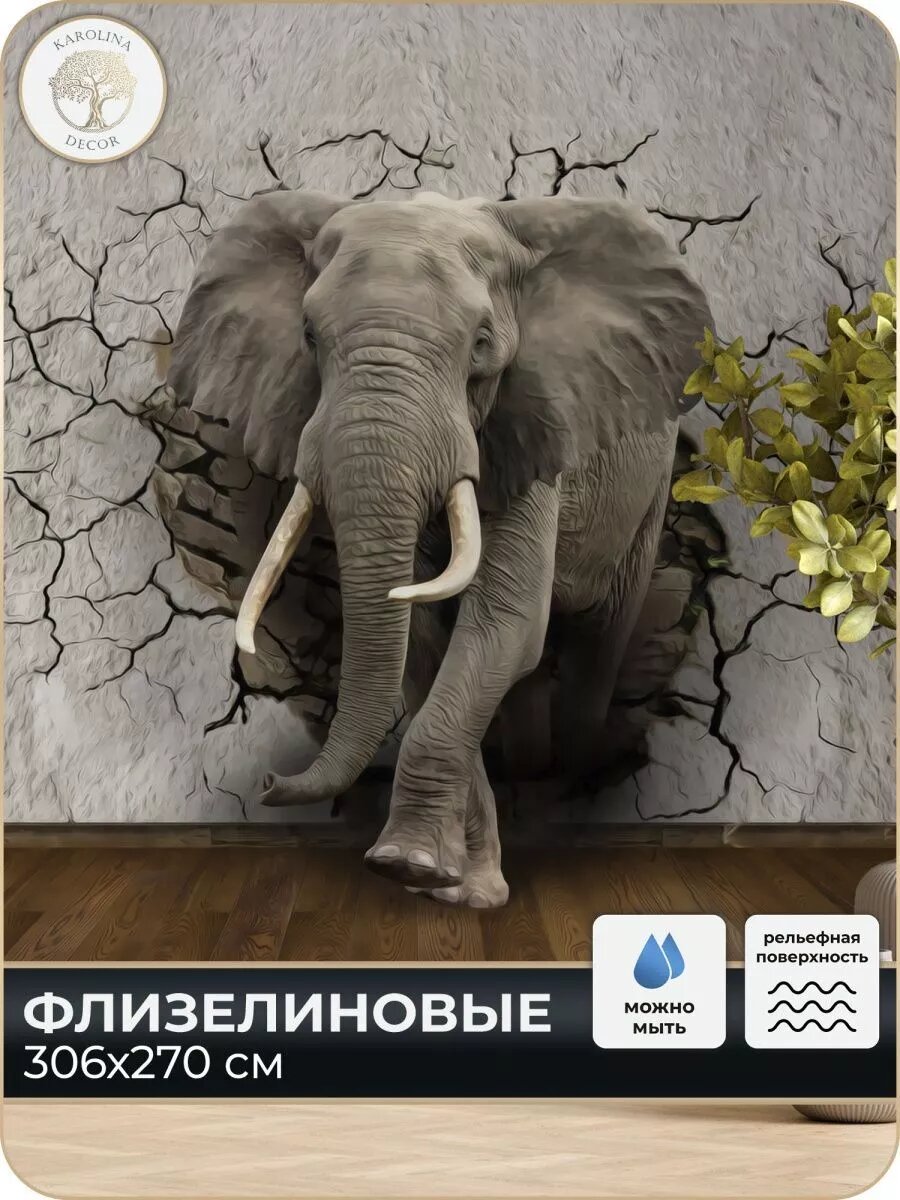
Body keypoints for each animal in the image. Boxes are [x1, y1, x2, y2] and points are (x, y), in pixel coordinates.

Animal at [168, 190, 712, 908]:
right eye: (308, 336)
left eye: (481, 344)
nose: (268, 784)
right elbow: (426, 648)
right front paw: (444, 881)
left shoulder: (528, 428)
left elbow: (504, 625)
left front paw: (415, 869)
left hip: (651, 477)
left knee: (599, 636)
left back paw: (571, 789)